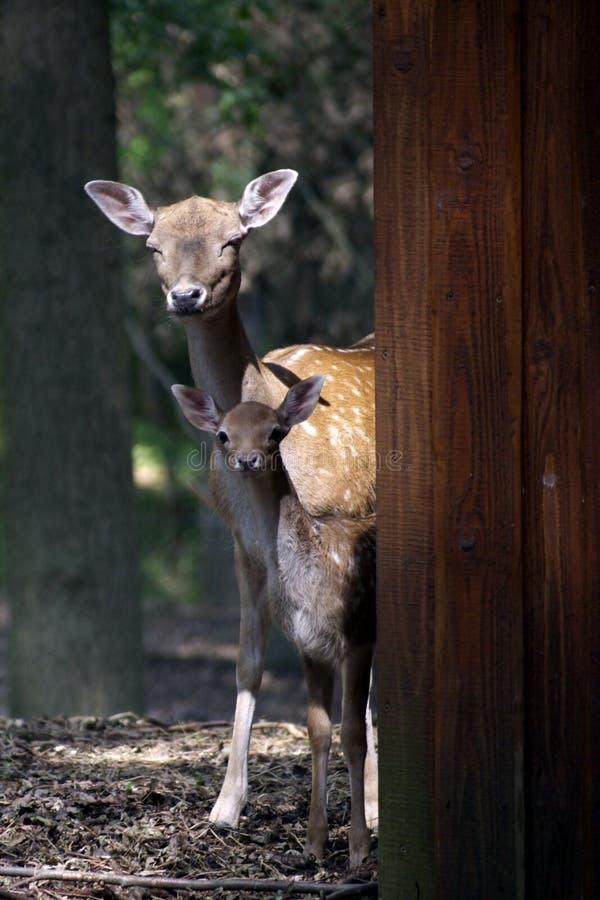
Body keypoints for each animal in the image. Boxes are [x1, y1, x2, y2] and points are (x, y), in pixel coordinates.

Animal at [171, 374, 375, 868]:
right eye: (224, 434)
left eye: (276, 432)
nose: (247, 459)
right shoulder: (309, 645)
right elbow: (318, 732)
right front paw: (314, 843)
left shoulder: (356, 634)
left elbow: (352, 734)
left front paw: (358, 849)